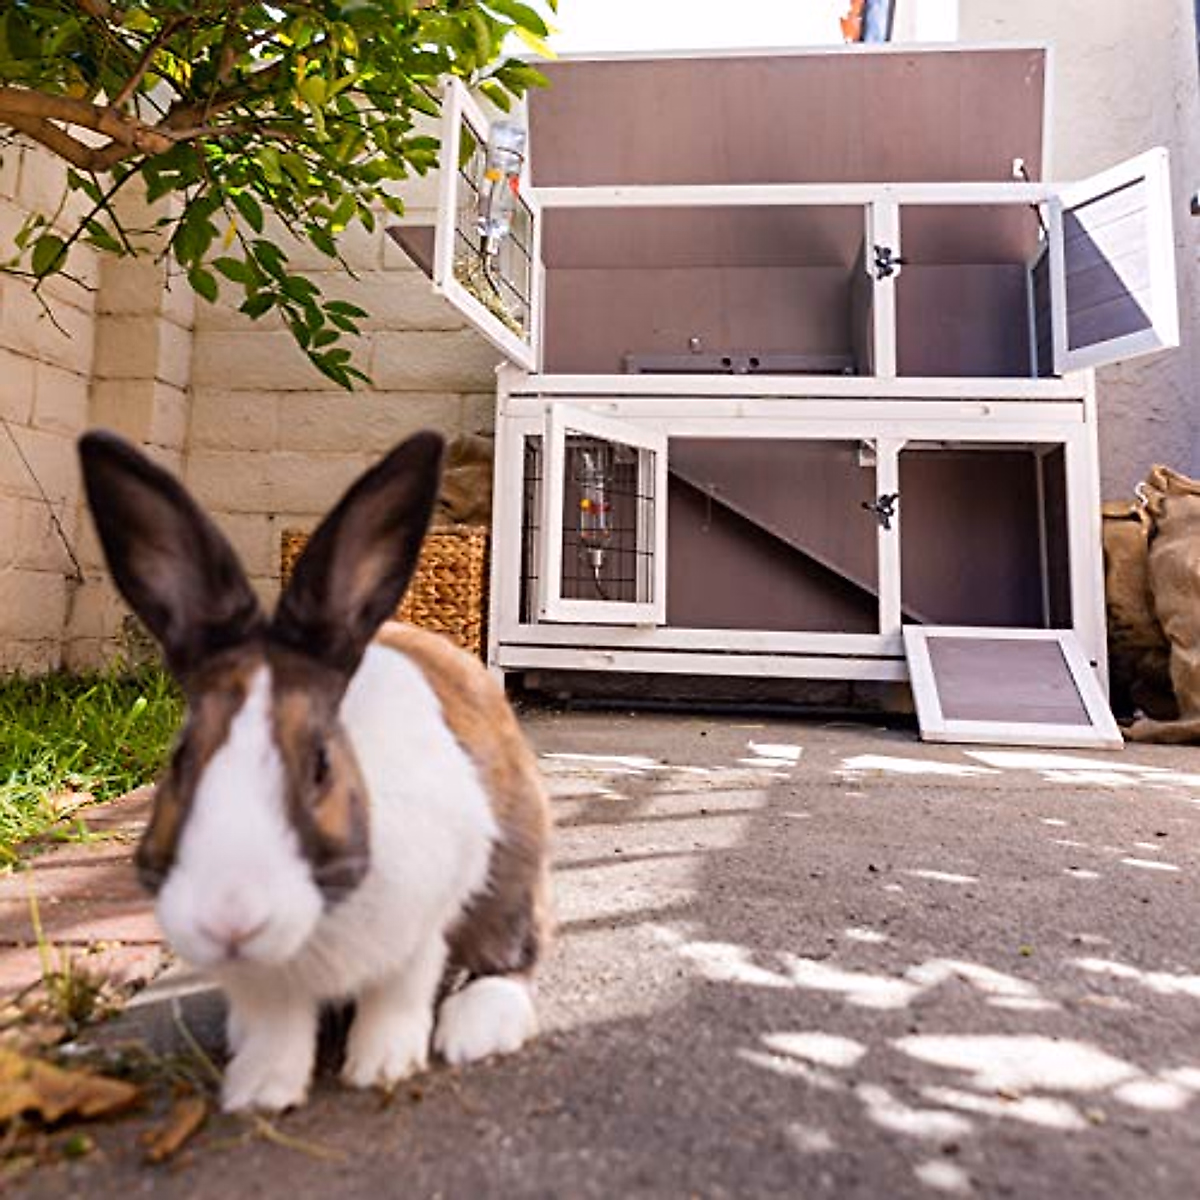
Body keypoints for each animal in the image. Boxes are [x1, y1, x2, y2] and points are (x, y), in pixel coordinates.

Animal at [78, 429, 552, 1113]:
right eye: (179, 758)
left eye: (322, 764)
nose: (230, 918)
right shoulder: (258, 980)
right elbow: (276, 1023)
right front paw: (261, 1090)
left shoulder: (424, 920)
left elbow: (399, 993)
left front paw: (381, 1066)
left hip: (511, 870)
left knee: (514, 950)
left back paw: (477, 1028)